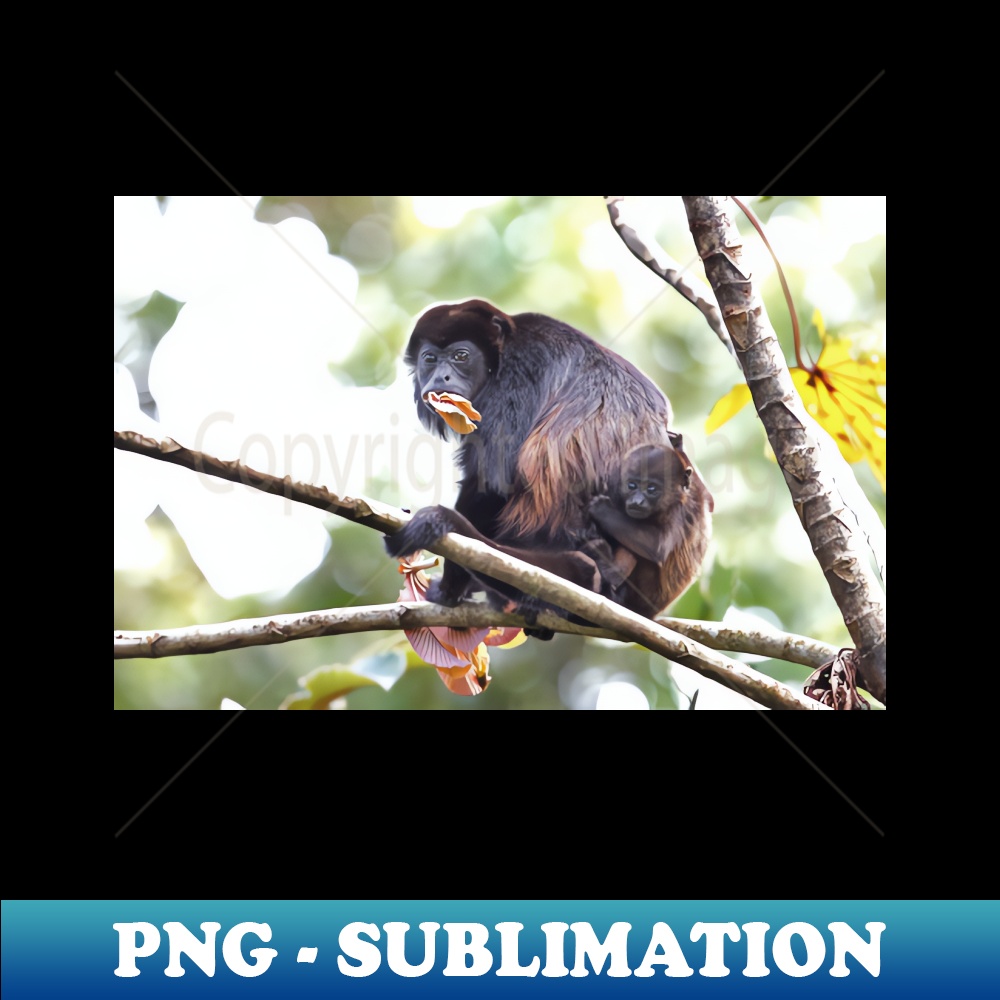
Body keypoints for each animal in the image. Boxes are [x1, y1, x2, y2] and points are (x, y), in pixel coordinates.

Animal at [383, 299, 679, 628]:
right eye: (430, 359)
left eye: (461, 356)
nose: (440, 378)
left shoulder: (516, 376)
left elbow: (492, 482)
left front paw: (451, 589)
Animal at [587, 441, 713, 618]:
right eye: (632, 485)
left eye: (652, 489)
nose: (637, 501)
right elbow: (708, 497)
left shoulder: (678, 511)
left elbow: (657, 547)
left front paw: (602, 509)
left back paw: (612, 571)